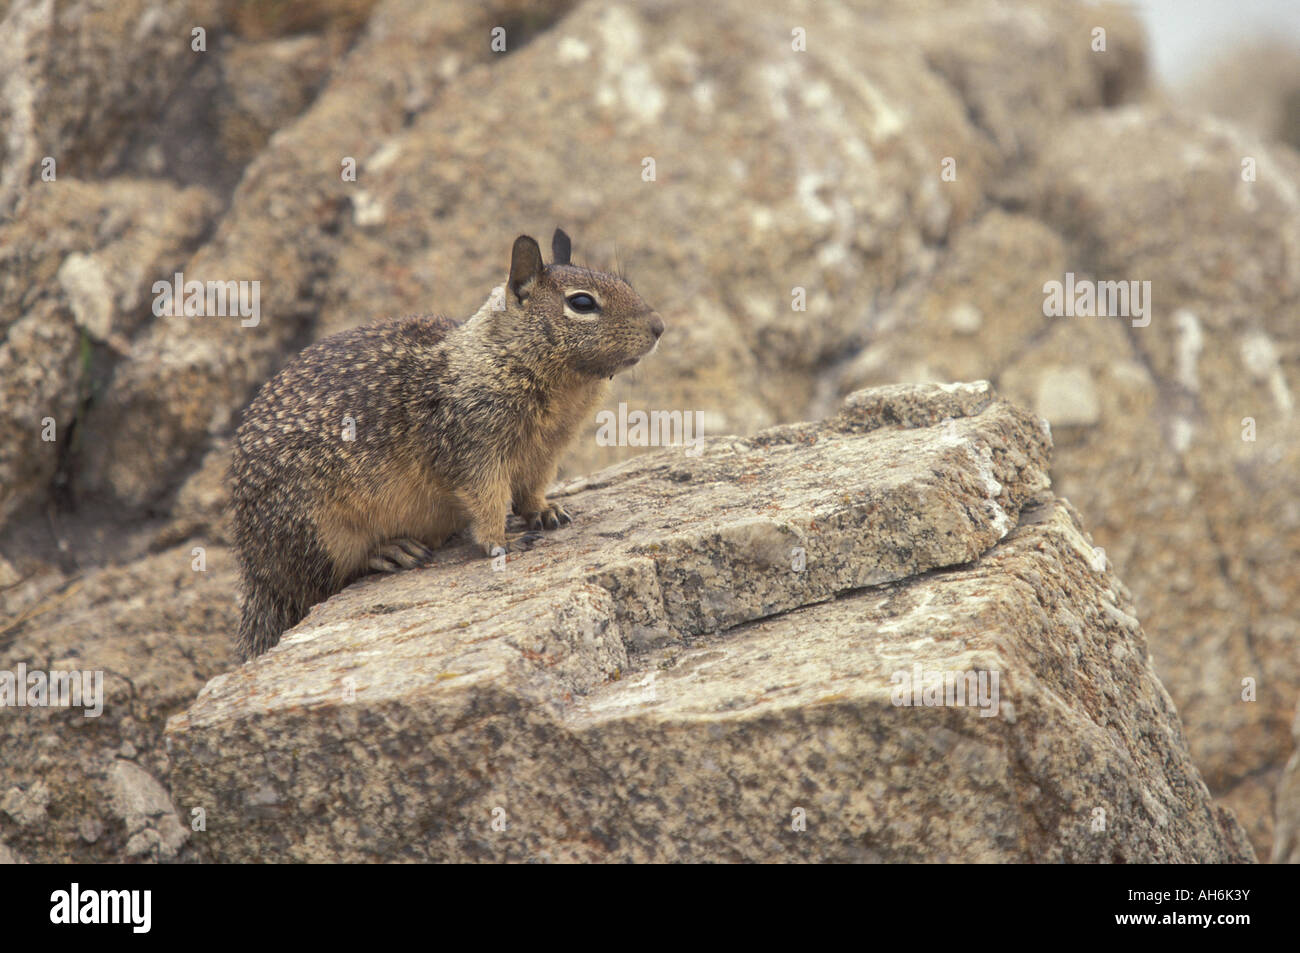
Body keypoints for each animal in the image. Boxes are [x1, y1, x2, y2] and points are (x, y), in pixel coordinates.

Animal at [229, 229, 663, 661]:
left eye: (626, 283)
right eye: (582, 303)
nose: (658, 326)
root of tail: (254, 573)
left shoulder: (545, 454)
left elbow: (531, 490)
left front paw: (546, 511)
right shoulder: (473, 450)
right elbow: (487, 501)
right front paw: (503, 541)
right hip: (315, 530)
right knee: (325, 577)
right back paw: (391, 551)